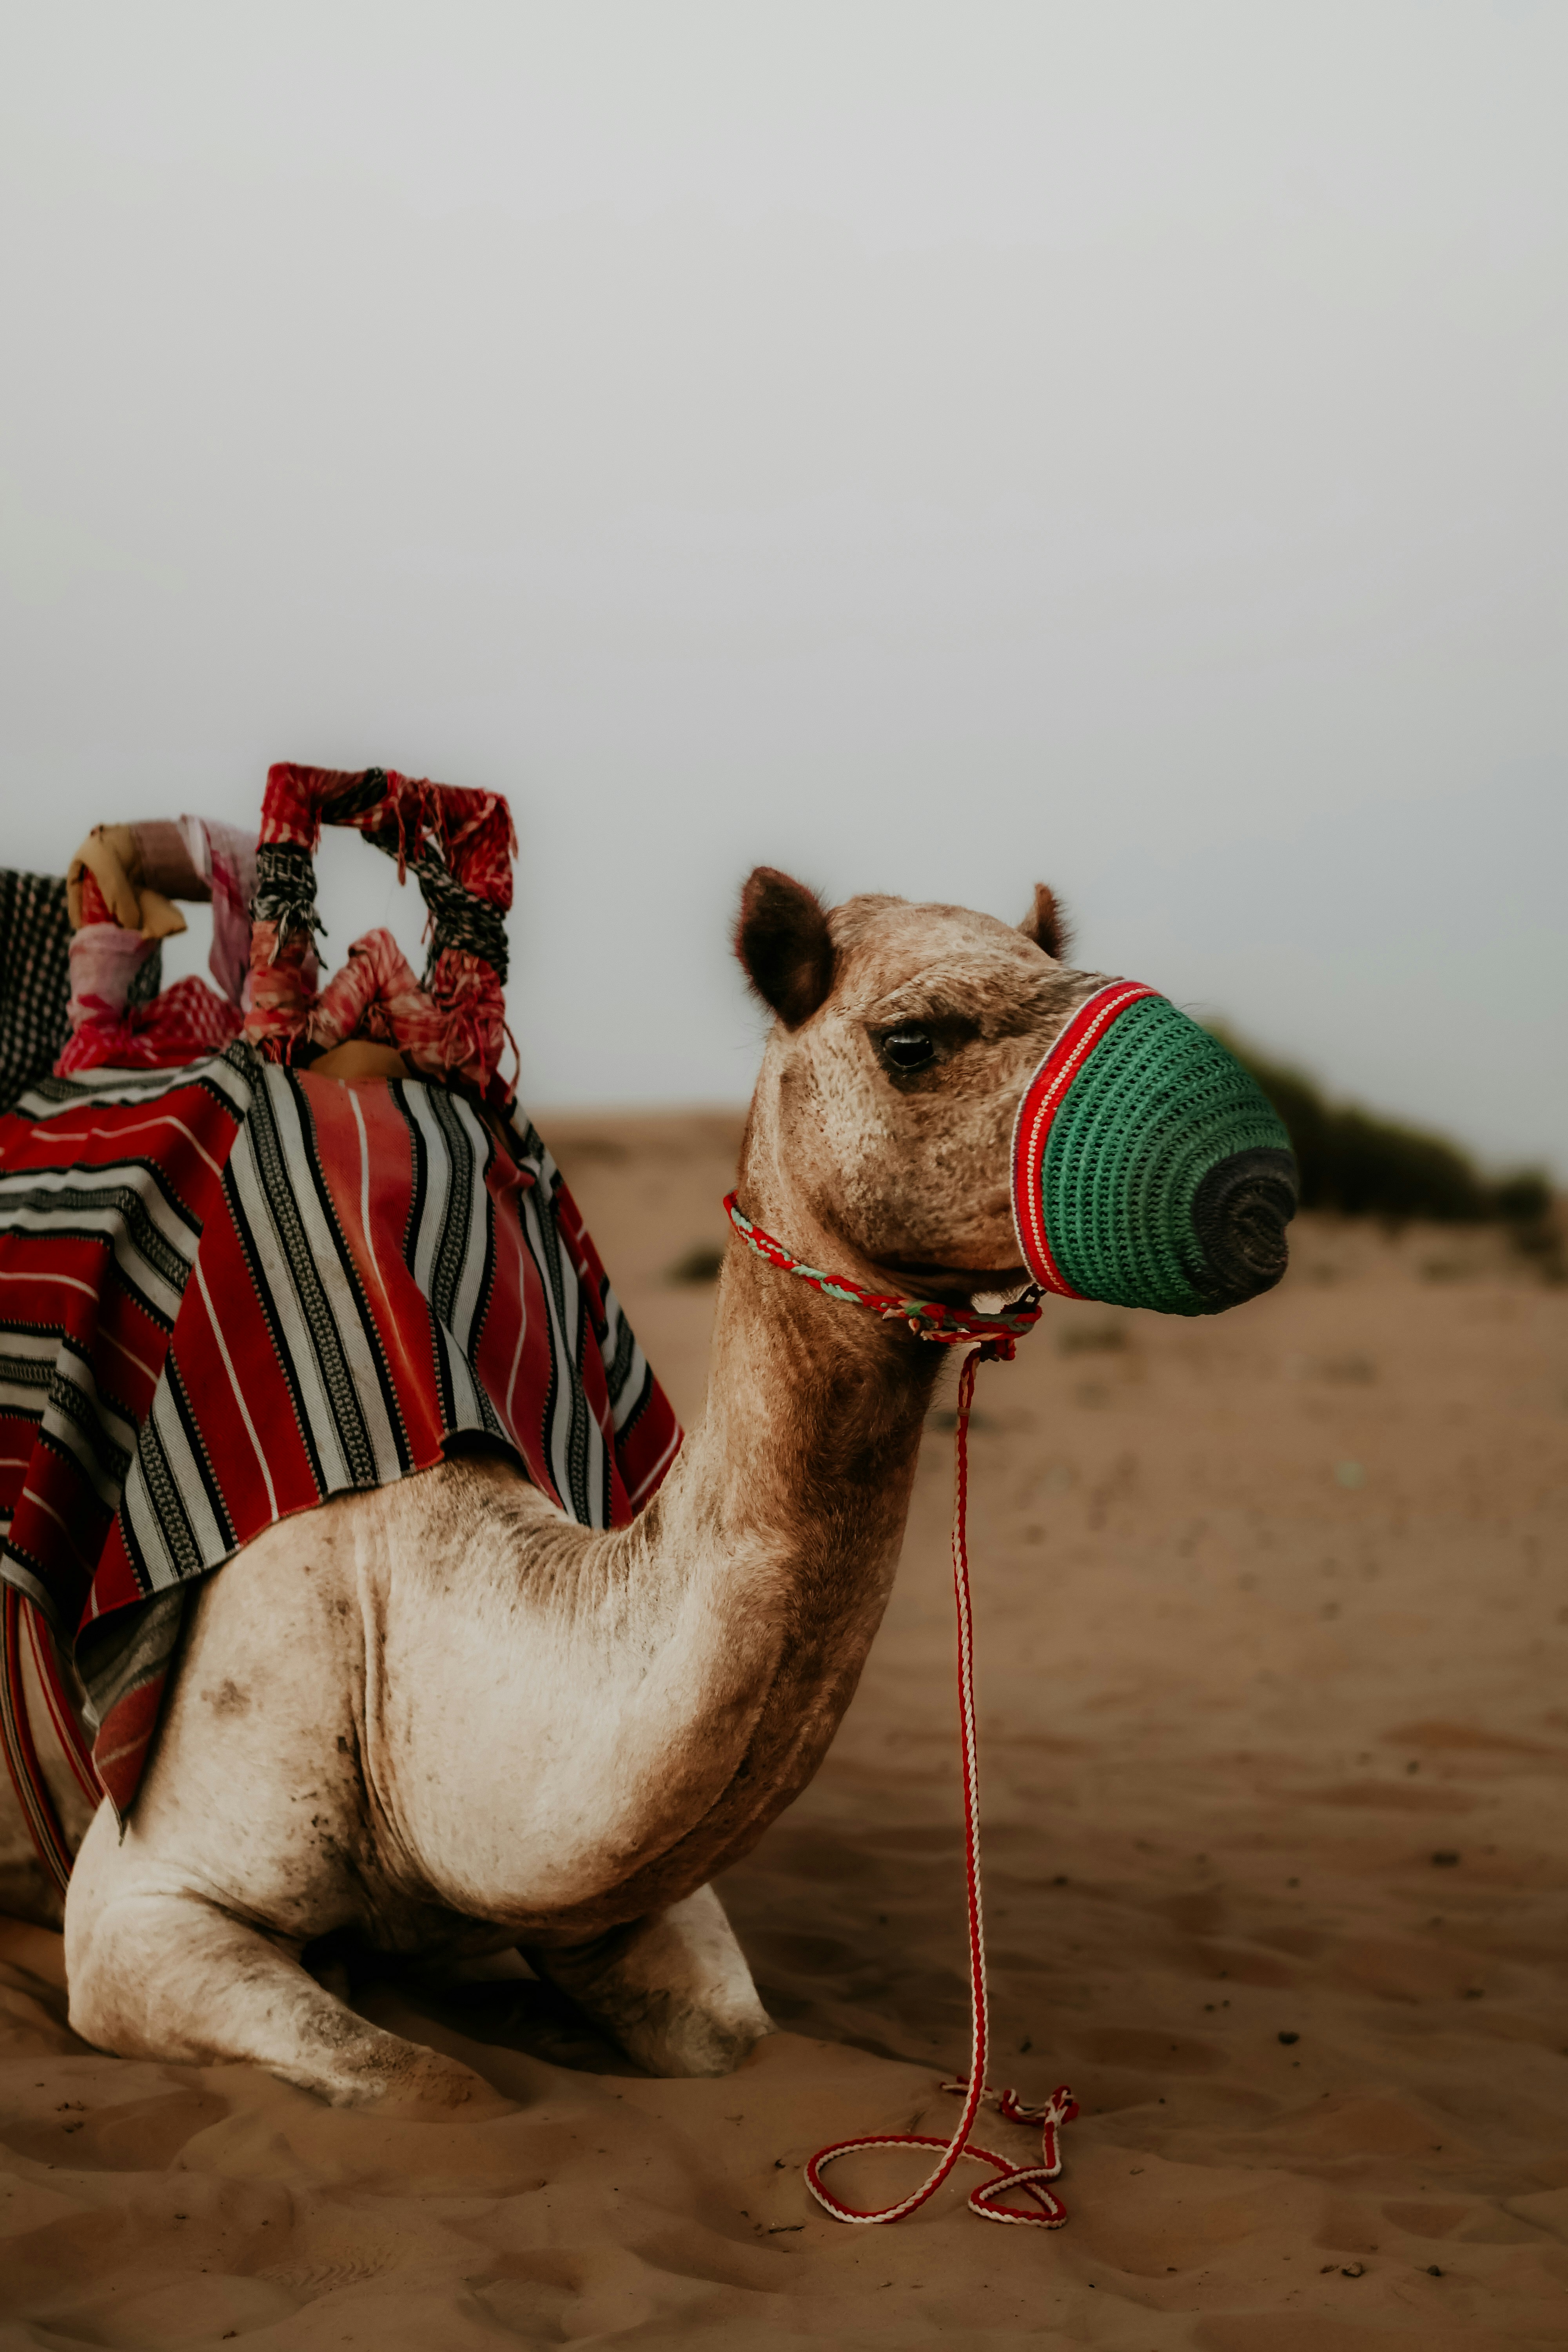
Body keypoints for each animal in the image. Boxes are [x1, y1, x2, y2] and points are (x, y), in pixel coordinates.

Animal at [19, 869, 1288, 2109]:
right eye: (913, 1038)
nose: (1257, 1183)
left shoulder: (621, 1896)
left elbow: (730, 2038)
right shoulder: (145, 1900)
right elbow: (429, 2087)